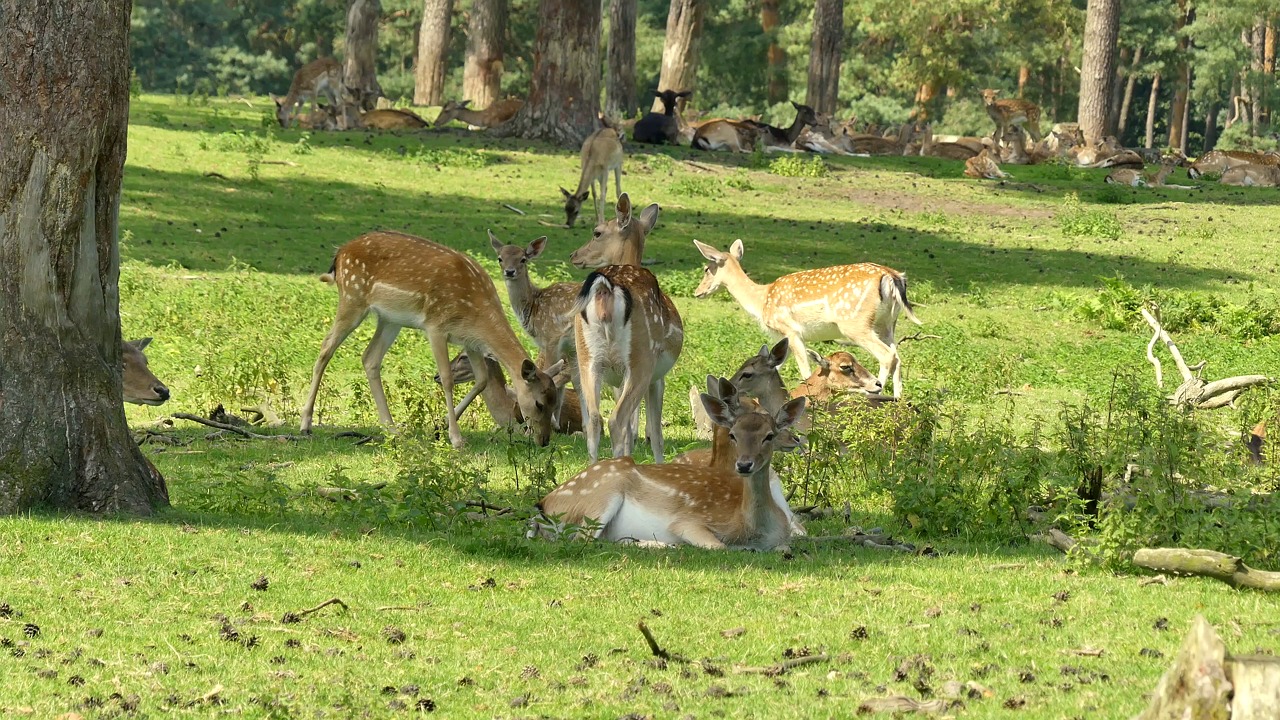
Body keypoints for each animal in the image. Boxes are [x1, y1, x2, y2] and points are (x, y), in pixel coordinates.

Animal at [299, 231, 566, 448]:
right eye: (539, 403)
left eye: (555, 403)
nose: (544, 440)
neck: (475, 314)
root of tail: (339, 253)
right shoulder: (436, 326)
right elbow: (446, 379)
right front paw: (456, 438)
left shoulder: (470, 341)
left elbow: (480, 380)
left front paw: (442, 425)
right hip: (352, 298)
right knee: (325, 348)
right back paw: (305, 425)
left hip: (390, 319)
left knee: (370, 358)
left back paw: (392, 429)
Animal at [530, 391, 807, 551]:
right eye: (733, 434)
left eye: (768, 435)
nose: (744, 464)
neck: (755, 531)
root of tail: (543, 505)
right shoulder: (687, 522)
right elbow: (718, 546)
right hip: (599, 498)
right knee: (584, 540)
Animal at [570, 195, 684, 462]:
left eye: (597, 233)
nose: (574, 255)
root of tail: (606, 288)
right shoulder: (657, 378)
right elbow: (655, 434)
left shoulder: (616, 379)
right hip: (642, 359)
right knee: (616, 420)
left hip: (588, 358)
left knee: (595, 419)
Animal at [692, 239, 920, 397]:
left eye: (706, 269)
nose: (697, 292)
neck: (762, 300)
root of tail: (892, 277)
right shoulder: (783, 337)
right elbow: (775, 365)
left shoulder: (792, 331)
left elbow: (805, 370)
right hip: (887, 324)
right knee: (897, 356)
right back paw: (897, 399)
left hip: (855, 323)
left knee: (887, 355)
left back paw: (875, 392)